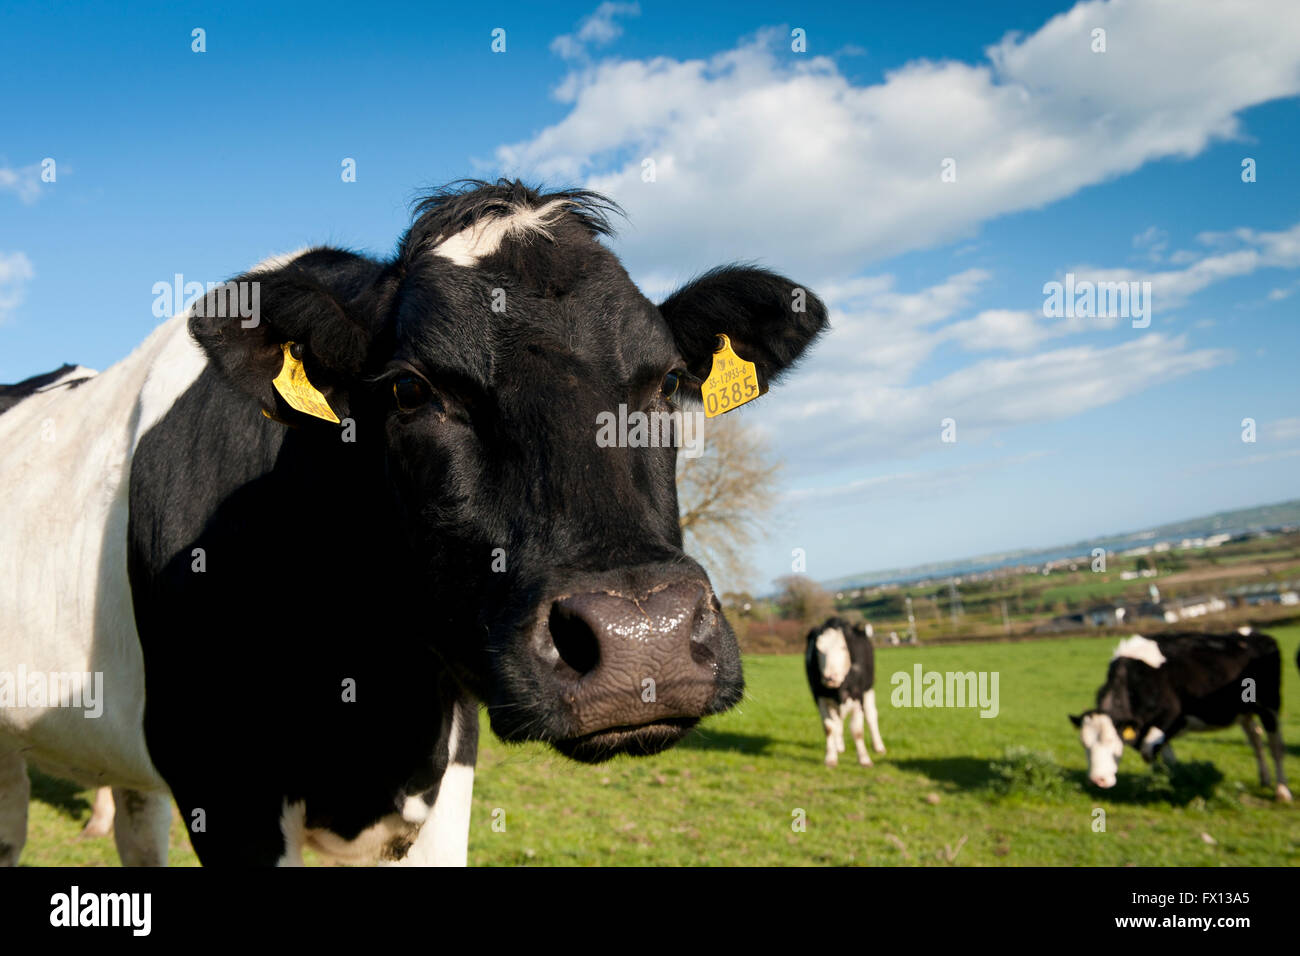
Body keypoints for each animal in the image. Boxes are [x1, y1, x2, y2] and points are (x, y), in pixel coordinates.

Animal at [805, 617, 885, 767]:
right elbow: (829, 727)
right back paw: (839, 746)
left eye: (843, 647)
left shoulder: (858, 696)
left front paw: (864, 759)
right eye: (818, 649)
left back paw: (879, 746)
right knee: (837, 720)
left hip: (869, 689)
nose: (829, 677)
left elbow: (857, 730)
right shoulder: (820, 697)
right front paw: (830, 758)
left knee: (871, 715)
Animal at [1069, 630, 1290, 801]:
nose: (1098, 780)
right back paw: (1264, 779)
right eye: (1084, 744)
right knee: (1256, 739)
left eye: (1112, 741)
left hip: (1270, 705)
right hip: (1244, 712)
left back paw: (1282, 791)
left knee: (1276, 746)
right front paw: (1172, 781)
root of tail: (1257, 635)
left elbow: (1149, 752)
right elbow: (1165, 759)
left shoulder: (1170, 717)